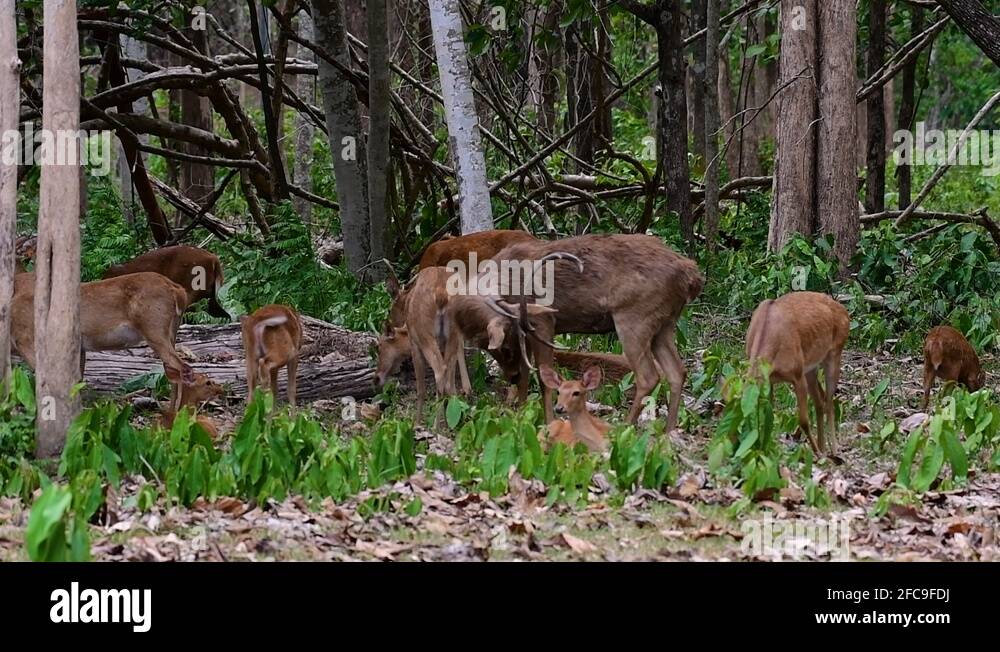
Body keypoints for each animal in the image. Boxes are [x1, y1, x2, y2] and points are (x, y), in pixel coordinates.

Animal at [11, 271, 196, 410]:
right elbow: (76, 381)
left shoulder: (26, 338)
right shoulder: (80, 347)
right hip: (170, 332)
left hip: (154, 329)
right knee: (174, 371)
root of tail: (177, 290)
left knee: (184, 369)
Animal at [490, 234, 704, 431]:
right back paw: (668, 432)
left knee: (648, 375)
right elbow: (526, 375)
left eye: (503, 349)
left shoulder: (542, 322)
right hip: (665, 324)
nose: (510, 377)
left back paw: (624, 427)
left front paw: (548, 422)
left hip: (635, 317)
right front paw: (520, 414)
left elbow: (544, 379)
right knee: (677, 371)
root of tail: (692, 275)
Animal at [745, 291, 850, 455]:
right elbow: (769, 413)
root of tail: (845, 311)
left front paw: (817, 454)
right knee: (820, 400)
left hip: (835, 351)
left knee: (829, 401)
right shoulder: (770, 380)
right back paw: (823, 447)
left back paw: (833, 451)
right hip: (811, 367)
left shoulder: (797, 374)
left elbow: (804, 420)